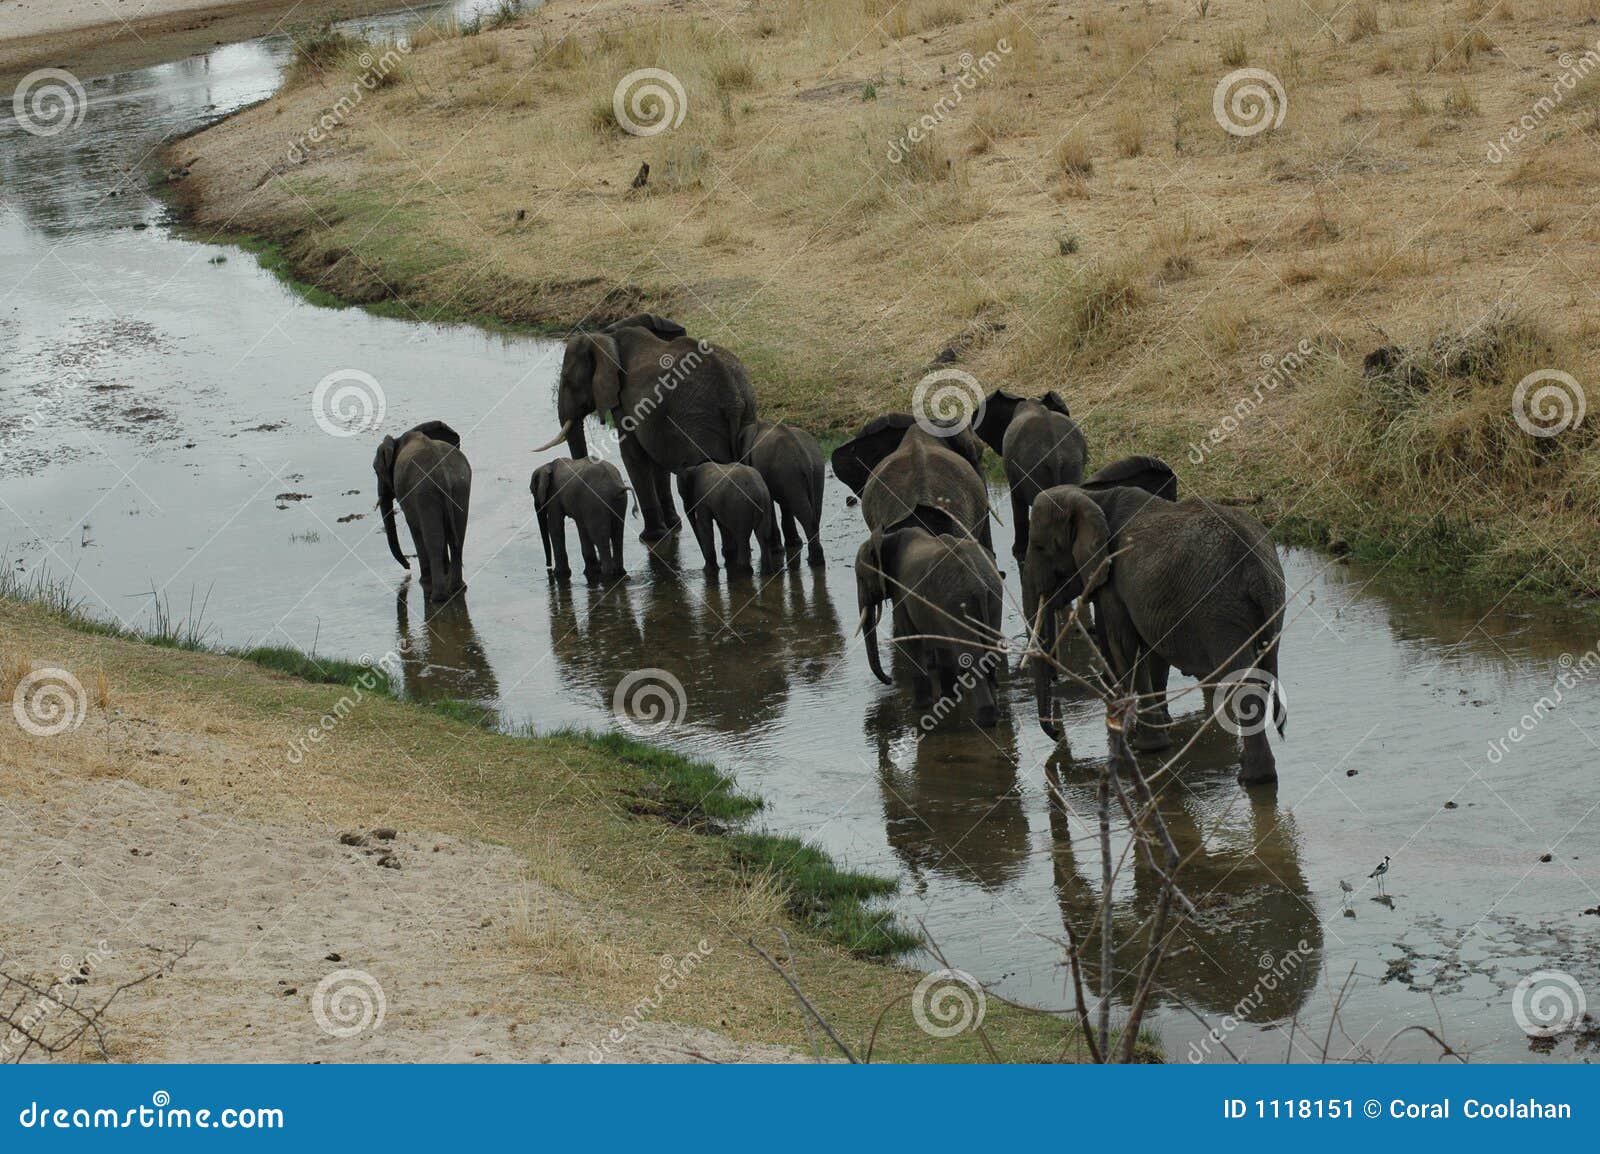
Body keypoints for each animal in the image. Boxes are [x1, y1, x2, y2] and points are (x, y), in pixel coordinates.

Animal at [375, 420, 470, 604]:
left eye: (376, 470)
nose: (408, 567)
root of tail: (442, 473)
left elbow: (414, 527)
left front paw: (424, 581)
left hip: (425, 493)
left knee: (432, 539)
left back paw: (436, 596)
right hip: (460, 486)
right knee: (457, 537)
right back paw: (457, 588)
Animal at [533, 313, 759, 543]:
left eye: (568, 380)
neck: (607, 335)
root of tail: (733, 400)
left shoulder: (628, 404)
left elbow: (632, 455)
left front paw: (651, 537)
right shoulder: (658, 419)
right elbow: (657, 459)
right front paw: (672, 527)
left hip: (701, 421)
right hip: (744, 412)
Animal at [740, 419, 826, 567]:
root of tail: (805, 460)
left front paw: (777, 551)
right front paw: (792, 545)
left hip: (790, 472)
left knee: (804, 513)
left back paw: (814, 561)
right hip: (814, 471)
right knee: (814, 512)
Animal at [856, 526, 1003, 728]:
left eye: (860, 578)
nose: (889, 680)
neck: (887, 537)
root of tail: (978, 582)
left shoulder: (901, 592)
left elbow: (910, 636)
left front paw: (919, 707)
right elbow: (942, 645)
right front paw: (948, 697)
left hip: (958, 602)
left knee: (972, 656)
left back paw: (985, 720)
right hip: (993, 596)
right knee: (989, 652)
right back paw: (994, 714)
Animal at [1025, 475, 1287, 785]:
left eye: (1039, 547)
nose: (1055, 734)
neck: (1092, 496)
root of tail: (1258, 569)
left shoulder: (1113, 577)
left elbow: (1122, 645)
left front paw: (1145, 745)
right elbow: (1153, 650)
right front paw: (1162, 727)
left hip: (1221, 611)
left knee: (1243, 683)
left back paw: (1253, 778)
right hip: (1270, 604)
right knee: (1264, 670)